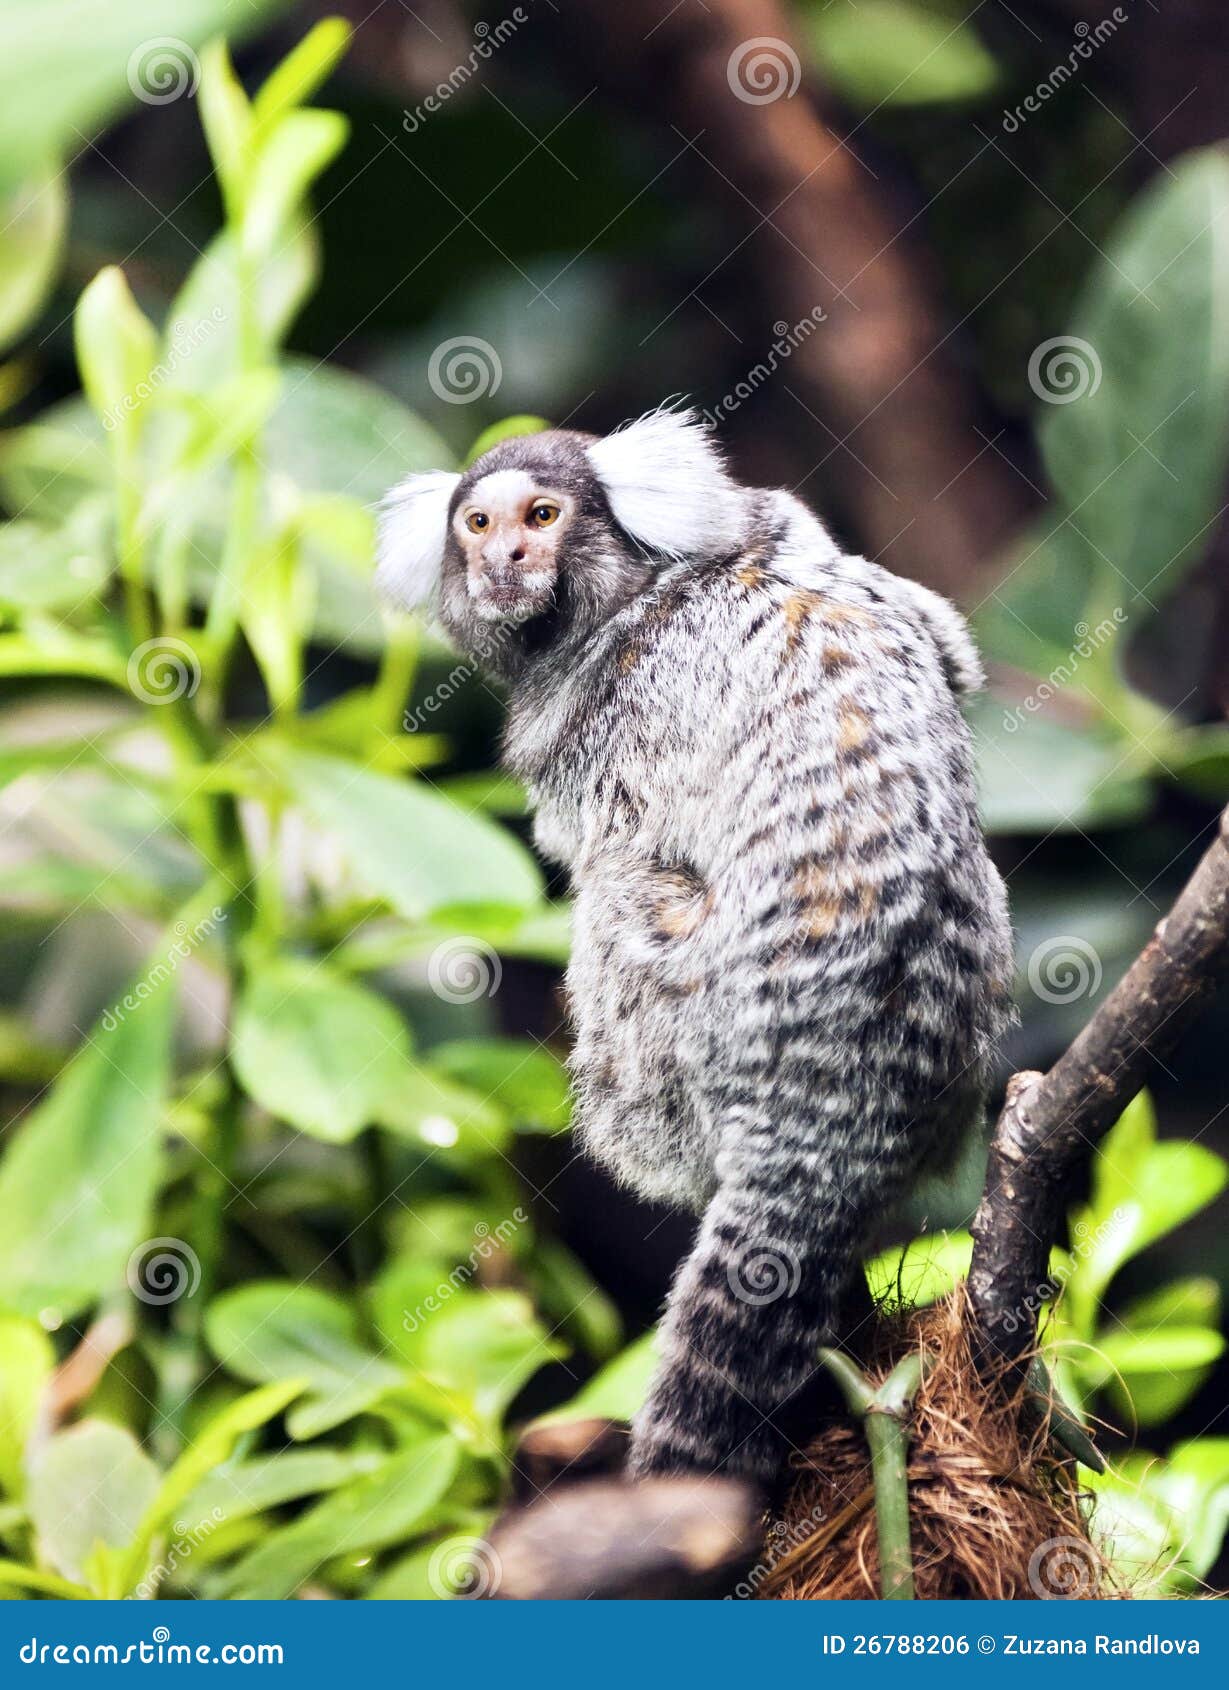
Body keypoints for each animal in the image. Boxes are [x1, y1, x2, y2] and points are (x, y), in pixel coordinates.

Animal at [377, 408, 1014, 1491]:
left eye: (540, 517)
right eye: (477, 523)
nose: (505, 559)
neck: (644, 590)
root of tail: (834, 1101)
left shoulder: (611, 723)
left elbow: (622, 843)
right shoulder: (828, 554)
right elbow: (933, 638)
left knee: (617, 912)